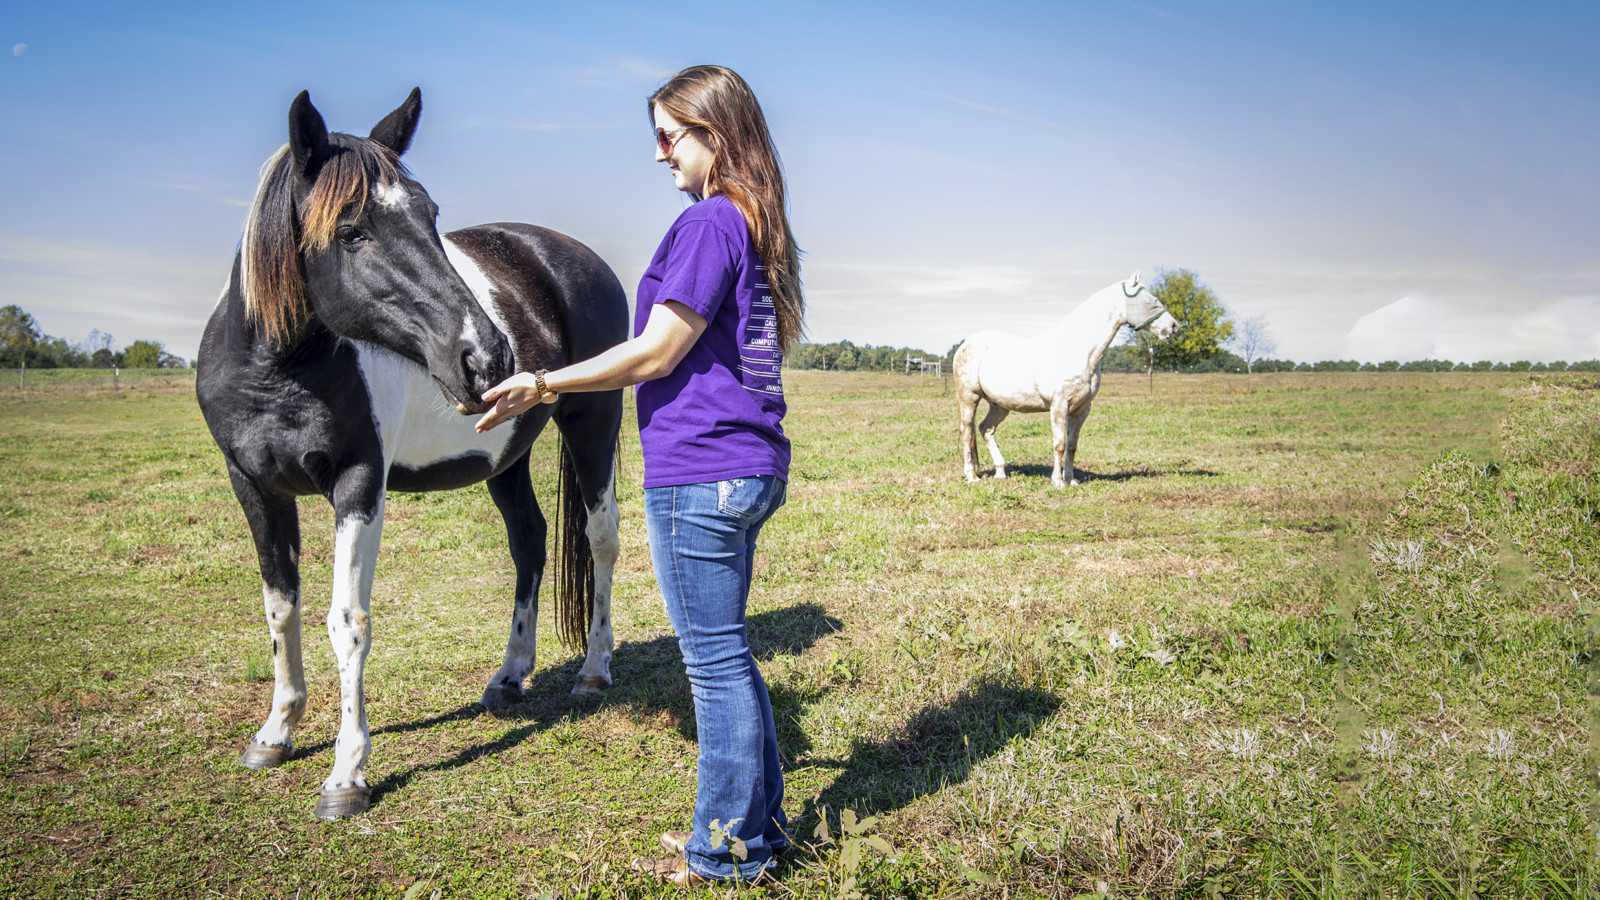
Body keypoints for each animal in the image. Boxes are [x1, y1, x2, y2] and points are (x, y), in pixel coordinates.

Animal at [196, 88, 627, 820]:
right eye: (351, 231)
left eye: (431, 216)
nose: (488, 357)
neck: (278, 370)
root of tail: (570, 255)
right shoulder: (253, 485)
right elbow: (281, 606)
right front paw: (277, 732)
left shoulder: (359, 483)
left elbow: (348, 621)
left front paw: (346, 775)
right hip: (506, 457)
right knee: (530, 541)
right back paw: (509, 676)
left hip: (593, 423)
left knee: (600, 540)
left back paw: (595, 670)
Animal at [953, 272, 1176, 487]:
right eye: (1152, 300)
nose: (1173, 326)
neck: (1078, 350)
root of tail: (966, 344)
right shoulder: (1059, 405)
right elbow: (1059, 444)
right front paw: (1058, 482)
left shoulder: (1082, 409)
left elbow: (1072, 446)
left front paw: (1071, 480)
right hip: (969, 398)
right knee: (967, 431)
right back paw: (972, 476)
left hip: (999, 405)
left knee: (985, 429)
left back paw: (1000, 472)